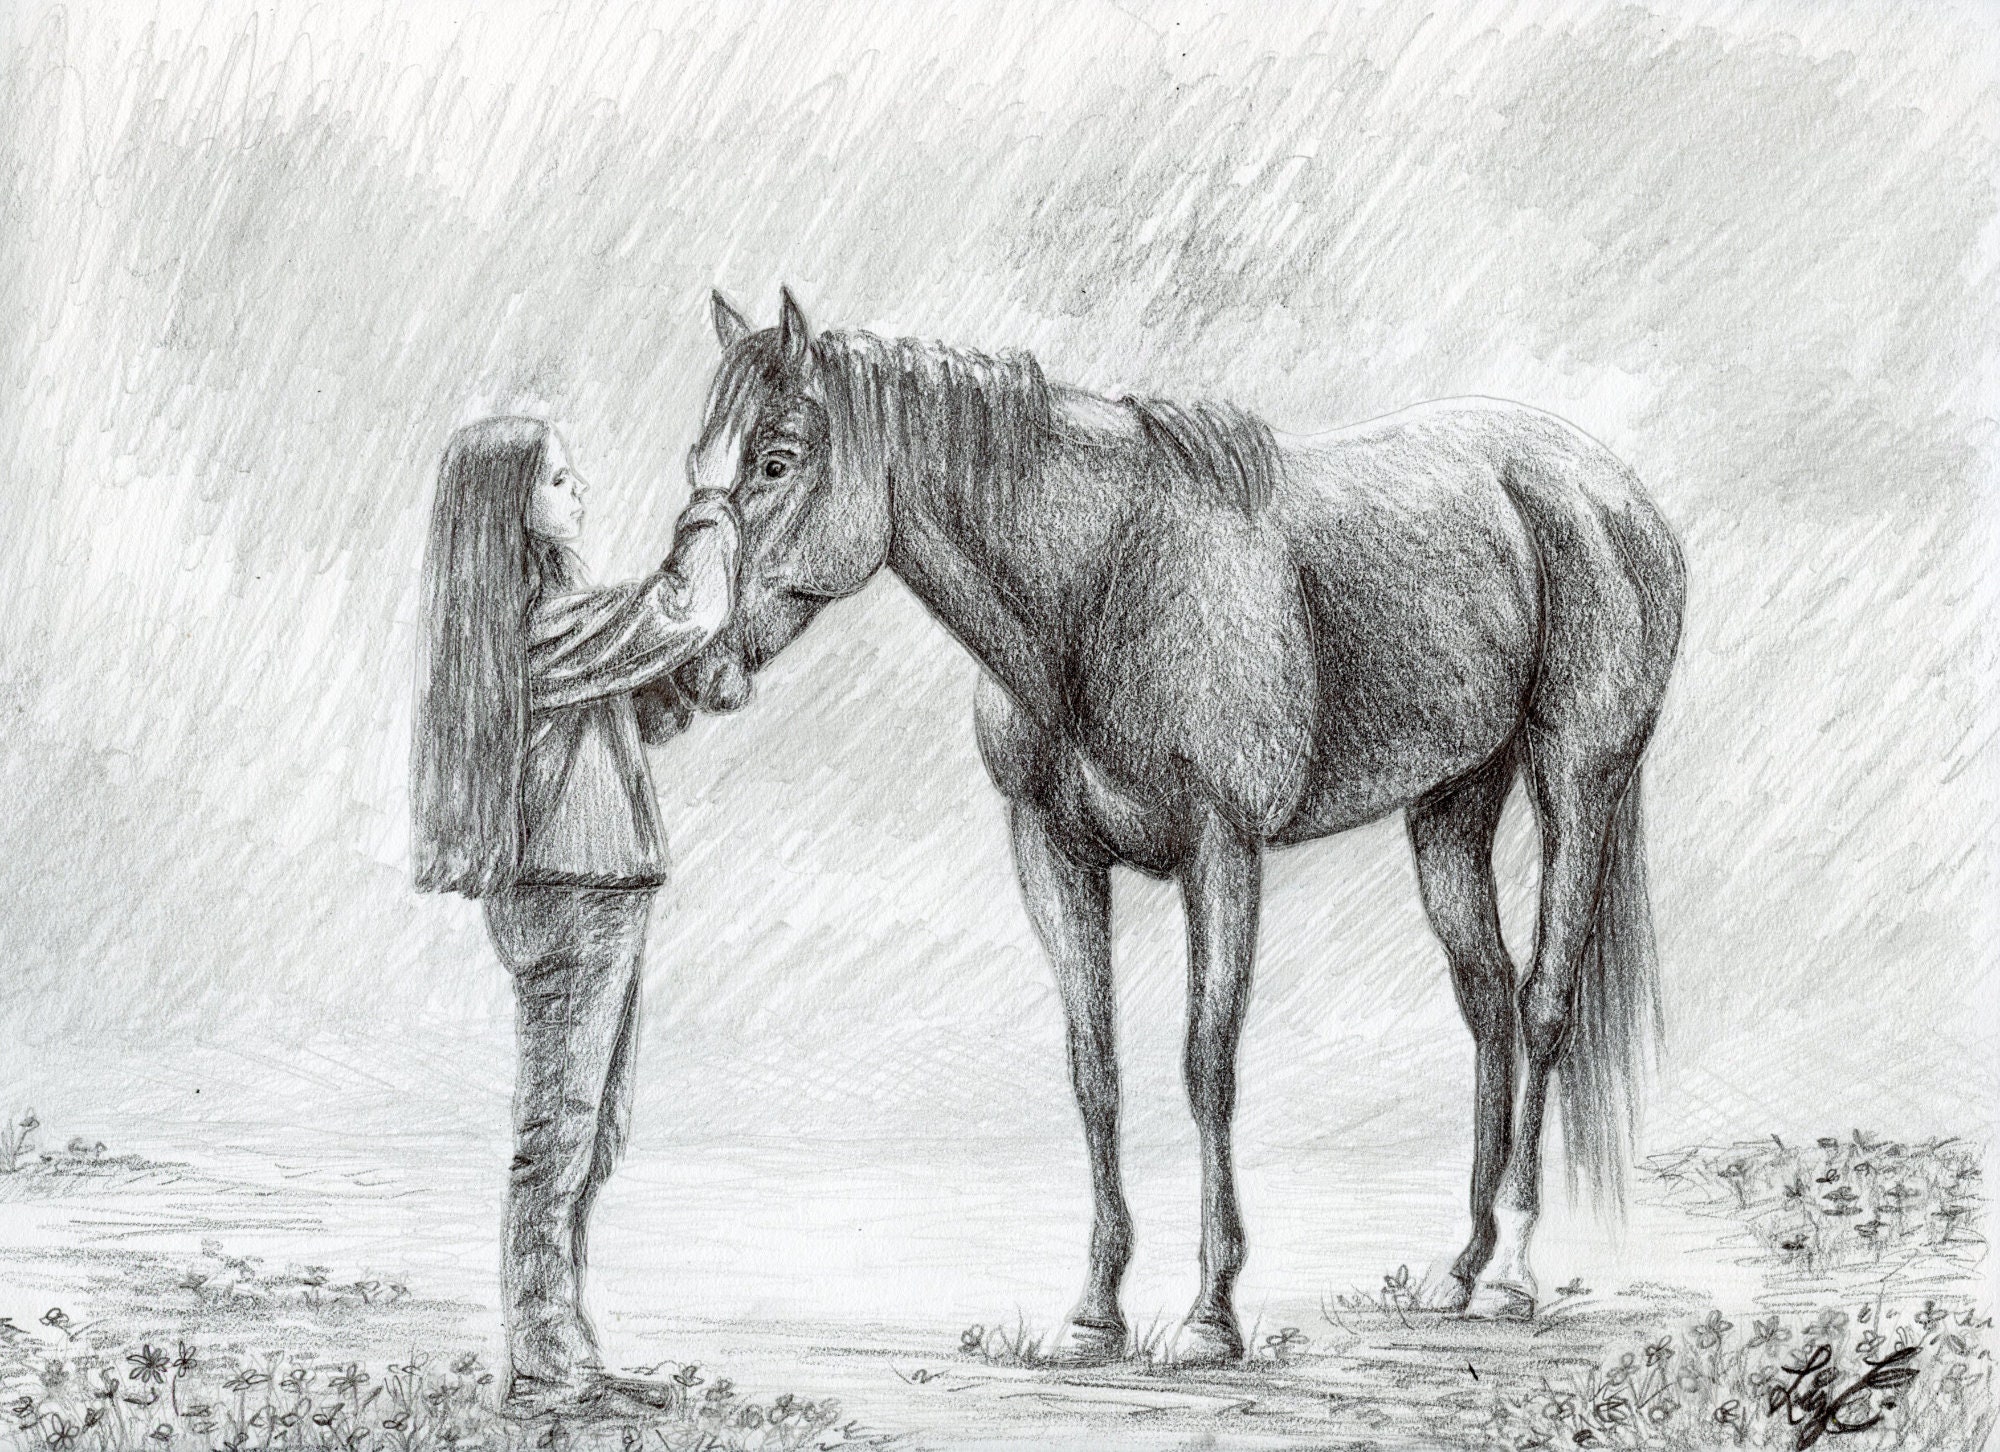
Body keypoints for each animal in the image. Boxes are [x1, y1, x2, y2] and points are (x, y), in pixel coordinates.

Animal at [674, 288, 1686, 1366]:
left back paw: (1510, 1275)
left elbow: (1208, 1066)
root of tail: (1611, 489)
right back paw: (1459, 1267)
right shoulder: (1052, 854)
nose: (694, 662)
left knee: (1542, 1004)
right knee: (1487, 998)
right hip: (1451, 802)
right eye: (700, 459)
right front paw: (1094, 1314)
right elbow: (1095, 1071)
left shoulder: (1222, 853)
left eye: (777, 461)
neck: (1104, 583)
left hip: (1577, 778)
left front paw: (1211, 1313)